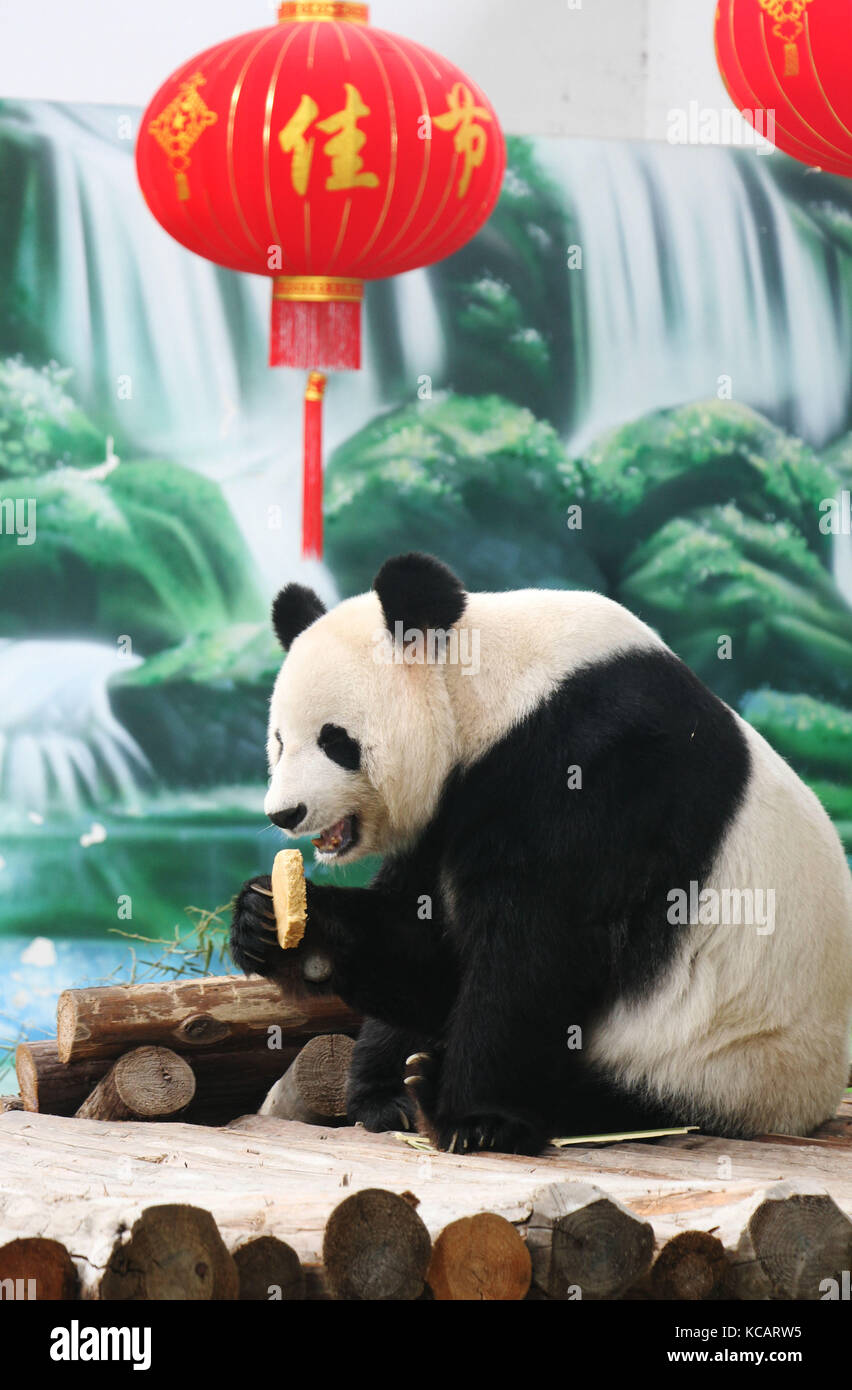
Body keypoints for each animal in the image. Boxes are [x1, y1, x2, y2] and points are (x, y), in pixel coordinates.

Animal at [231, 551, 852, 1155]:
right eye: (280, 741)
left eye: (335, 740)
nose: (284, 813)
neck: (495, 697)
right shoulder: (452, 814)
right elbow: (427, 941)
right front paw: (272, 921)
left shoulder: (591, 770)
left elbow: (534, 949)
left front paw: (471, 1120)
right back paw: (390, 1095)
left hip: (724, 1060)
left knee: (618, 1095)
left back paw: (445, 1093)